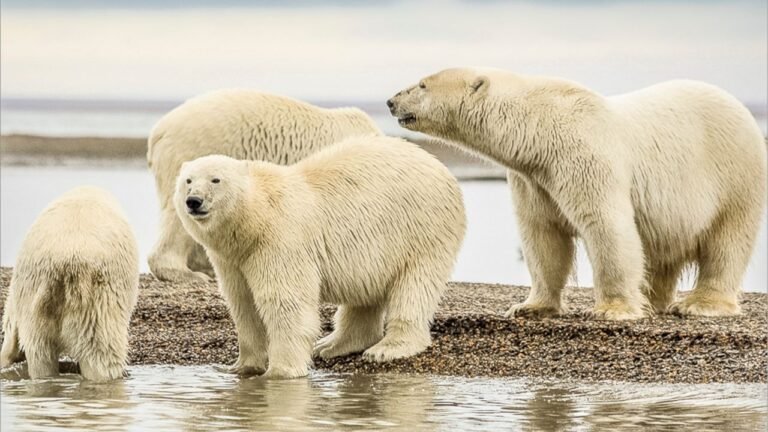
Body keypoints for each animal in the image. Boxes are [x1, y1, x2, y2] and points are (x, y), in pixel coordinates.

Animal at [174, 136, 466, 378]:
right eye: (188, 180)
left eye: (215, 179)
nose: (194, 201)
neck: (255, 219)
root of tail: (439, 166)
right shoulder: (232, 259)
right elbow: (243, 303)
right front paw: (242, 366)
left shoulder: (280, 240)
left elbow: (285, 303)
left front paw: (280, 372)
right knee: (365, 293)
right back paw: (332, 345)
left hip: (421, 229)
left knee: (414, 286)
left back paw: (386, 348)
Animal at [387, 67, 767, 320]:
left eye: (422, 84)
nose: (391, 101)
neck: (539, 129)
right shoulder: (533, 178)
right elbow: (542, 236)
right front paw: (529, 306)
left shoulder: (583, 157)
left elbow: (607, 226)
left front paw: (612, 309)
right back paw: (653, 298)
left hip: (735, 174)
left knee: (727, 240)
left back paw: (701, 304)